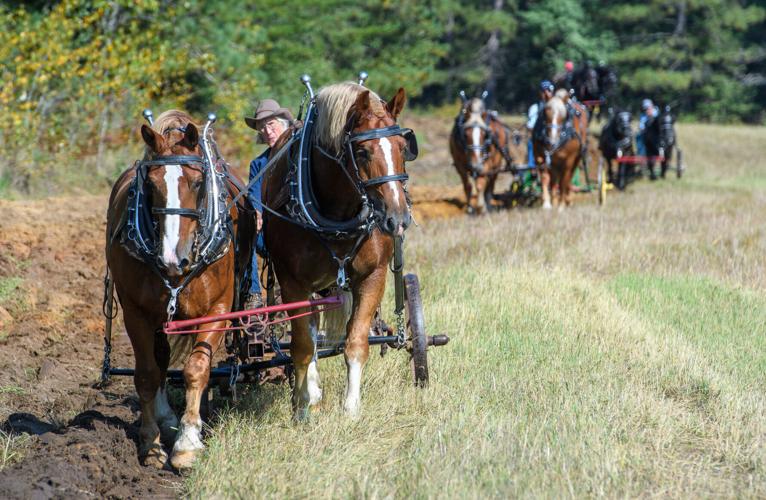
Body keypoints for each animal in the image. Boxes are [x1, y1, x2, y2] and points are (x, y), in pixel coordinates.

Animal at [106, 110, 254, 469]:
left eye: (198, 182)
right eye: (150, 184)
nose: (173, 257)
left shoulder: (218, 309)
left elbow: (197, 369)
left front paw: (188, 443)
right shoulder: (136, 312)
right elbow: (147, 373)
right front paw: (151, 443)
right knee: (159, 361)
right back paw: (165, 418)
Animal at [262, 82, 415, 420]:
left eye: (403, 146)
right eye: (362, 151)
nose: (398, 218)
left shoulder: (373, 277)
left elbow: (356, 341)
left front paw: (352, 408)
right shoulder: (292, 282)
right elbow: (302, 346)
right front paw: (303, 406)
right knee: (309, 336)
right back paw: (311, 394)